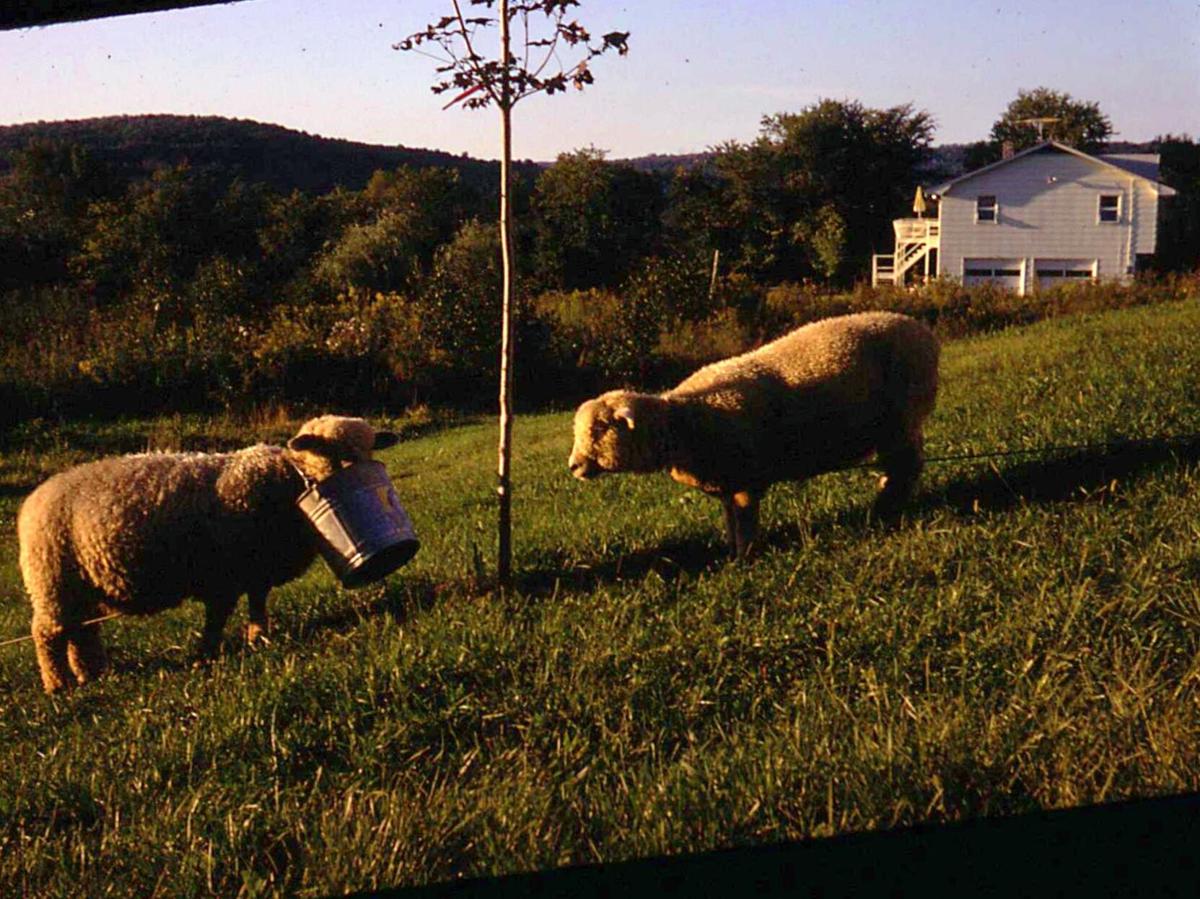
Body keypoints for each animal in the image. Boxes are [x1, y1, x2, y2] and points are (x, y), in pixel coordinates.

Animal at [17, 415, 398, 693]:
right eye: (334, 453)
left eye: (369, 451)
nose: (366, 476)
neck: (285, 479)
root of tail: (31, 502)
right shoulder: (225, 572)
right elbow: (218, 615)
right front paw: (207, 653)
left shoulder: (256, 565)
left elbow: (258, 599)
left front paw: (258, 636)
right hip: (51, 579)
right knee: (48, 634)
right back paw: (58, 684)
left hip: (80, 586)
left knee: (80, 632)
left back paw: (91, 673)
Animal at [567, 311, 939, 558]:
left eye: (599, 428)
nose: (572, 466)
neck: (683, 421)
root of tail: (921, 329)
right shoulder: (727, 481)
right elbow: (732, 521)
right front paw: (732, 553)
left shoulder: (745, 479)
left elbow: (745, 523)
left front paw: (744, 559)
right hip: (898, 426)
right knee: (903, 466)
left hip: (902, 418)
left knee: (906, 468)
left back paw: (885, 511)